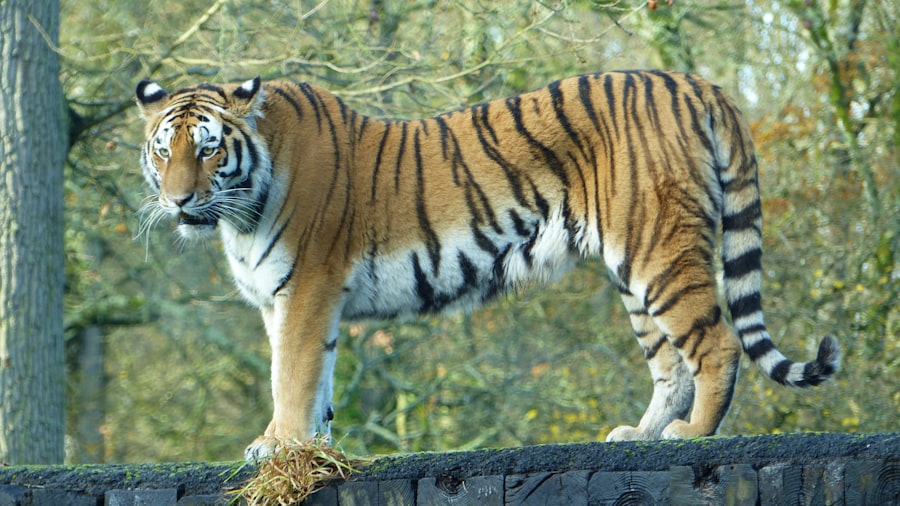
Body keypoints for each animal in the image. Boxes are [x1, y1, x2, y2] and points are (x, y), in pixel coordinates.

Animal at [135, 69, 840, 460]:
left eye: (208, 149)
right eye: (164, 151)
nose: (178, 200)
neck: (241, 208)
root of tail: (695, 82)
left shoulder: (306, 290)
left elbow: (293, 375)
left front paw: (277, 445)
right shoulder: (292, 300)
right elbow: (319, 383)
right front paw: (310, 447)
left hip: (659, 250)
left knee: (716, 344)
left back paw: (692, 436)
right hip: (634, 269)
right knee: (670, 364)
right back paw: (637, 436)